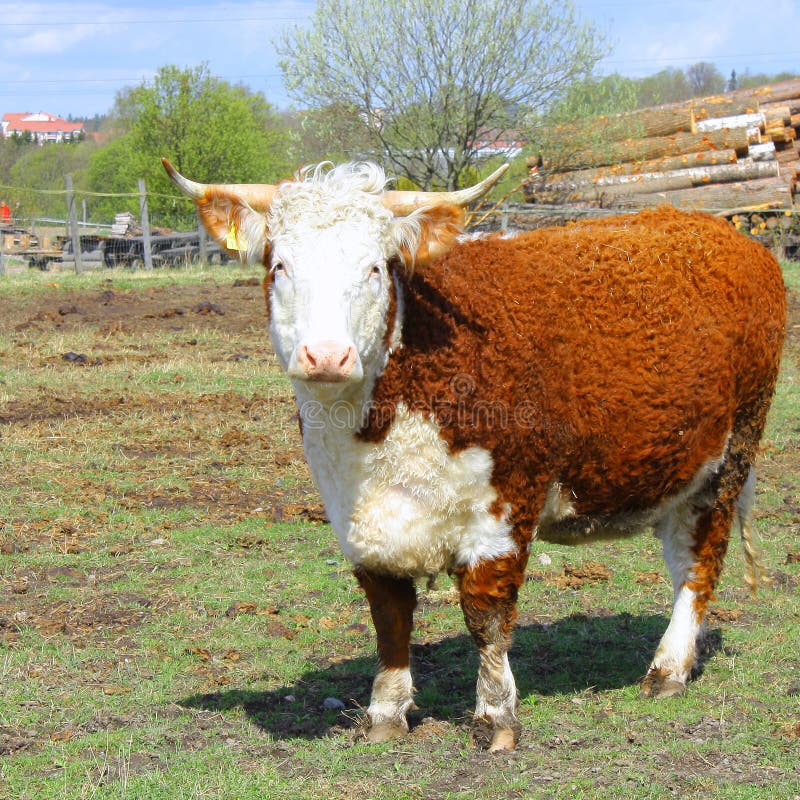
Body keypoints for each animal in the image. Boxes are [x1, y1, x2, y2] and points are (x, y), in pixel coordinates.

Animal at [163, 158, 787, 751]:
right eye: (280, 267)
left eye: (374, 267)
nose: (327, 355)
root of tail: (720, 232)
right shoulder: (356, 520)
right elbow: (389, 616)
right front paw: (386, 712)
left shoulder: (506, 505)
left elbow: (487, 616)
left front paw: (496, 716)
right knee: (682, 557)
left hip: (729, 460)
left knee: (700, 563)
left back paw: (668, 670)